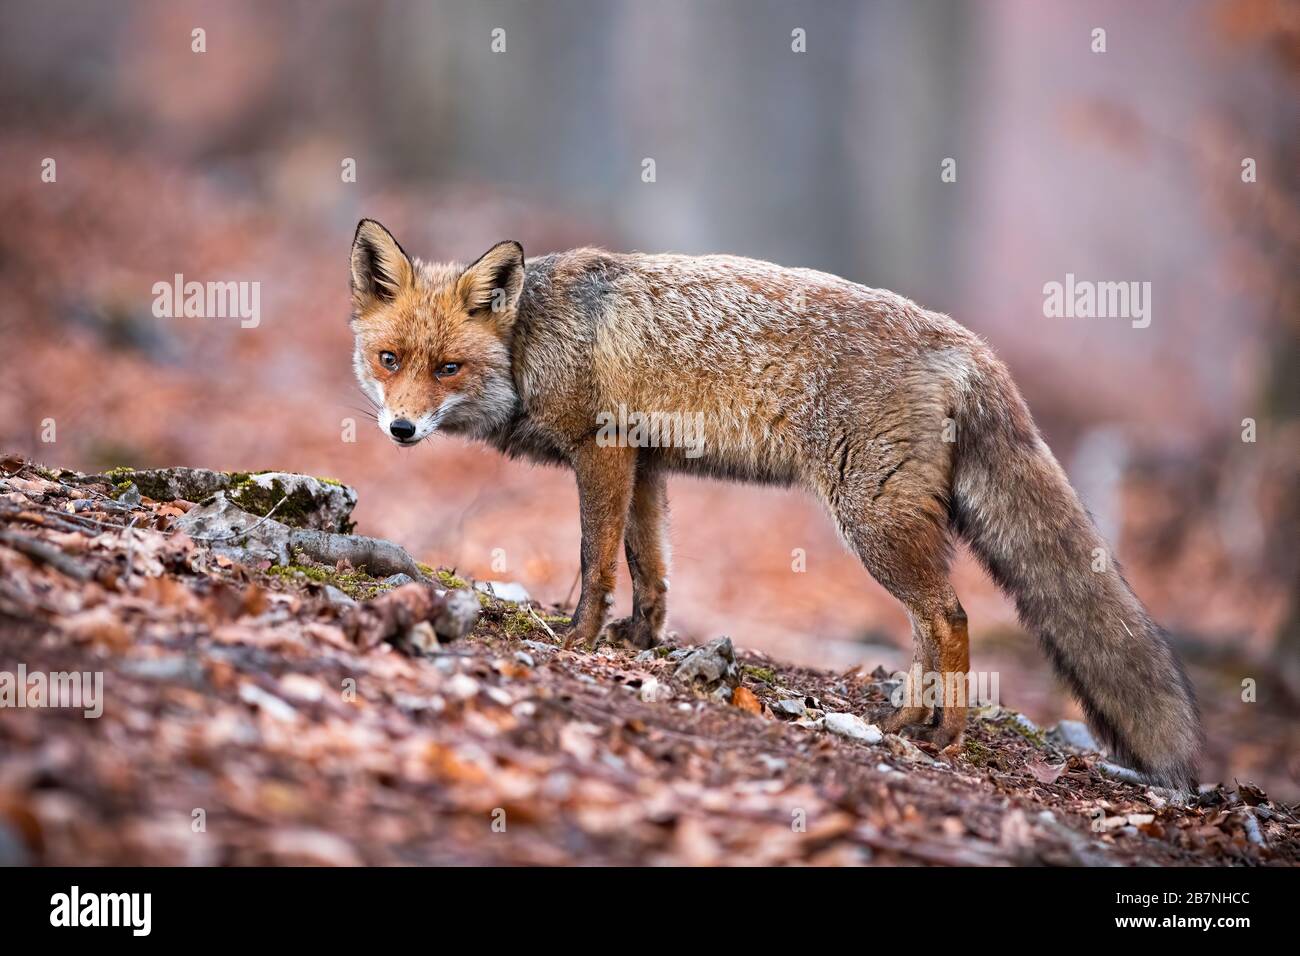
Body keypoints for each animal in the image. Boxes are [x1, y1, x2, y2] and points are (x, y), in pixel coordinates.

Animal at [348, 218, 1202, 788]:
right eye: (389, 360)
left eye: (449, 368)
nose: (399, 428)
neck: (532, 338)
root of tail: (965, 341)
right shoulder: (646, 462)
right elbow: (650, 568)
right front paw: (638, 642)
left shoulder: (603, 449)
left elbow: (596, 560)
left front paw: (579, 639)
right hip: (889, 526)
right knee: (928, 624)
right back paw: (906, 722)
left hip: (872, 521)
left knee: (951, 618)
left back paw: (946, 735)